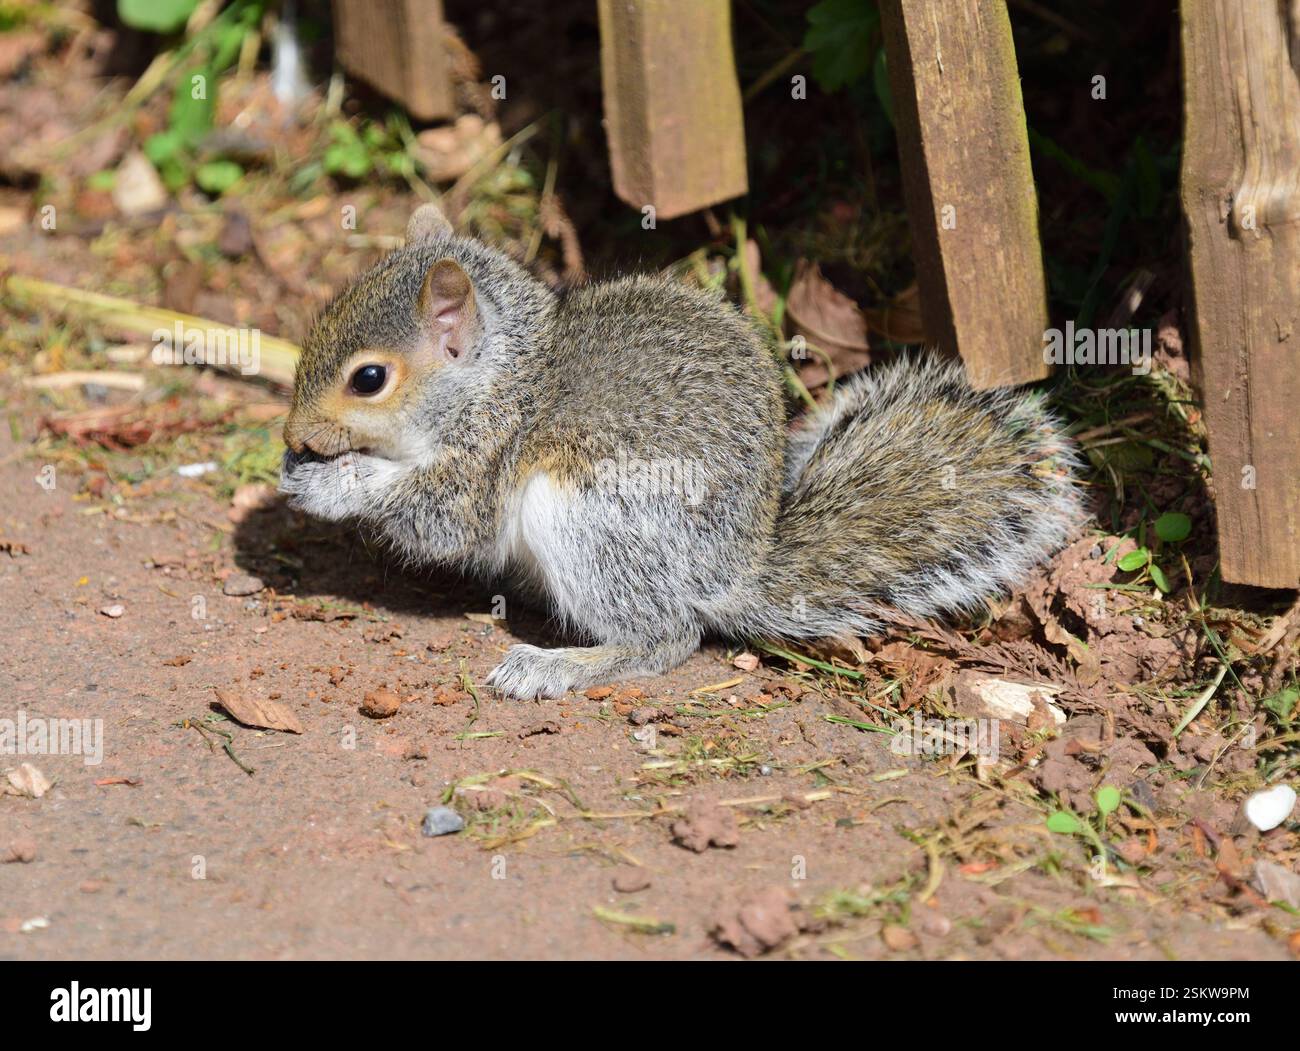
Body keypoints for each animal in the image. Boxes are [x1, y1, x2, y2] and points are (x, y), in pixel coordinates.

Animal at [280, 203, 1082, 700]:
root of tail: (732, 574)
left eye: (369, 378)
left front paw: (333, 481)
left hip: (589, 521)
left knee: (666, 638)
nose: (291, 436)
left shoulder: (489, 458)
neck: (505, 378)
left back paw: (555, 666)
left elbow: (439, 522)